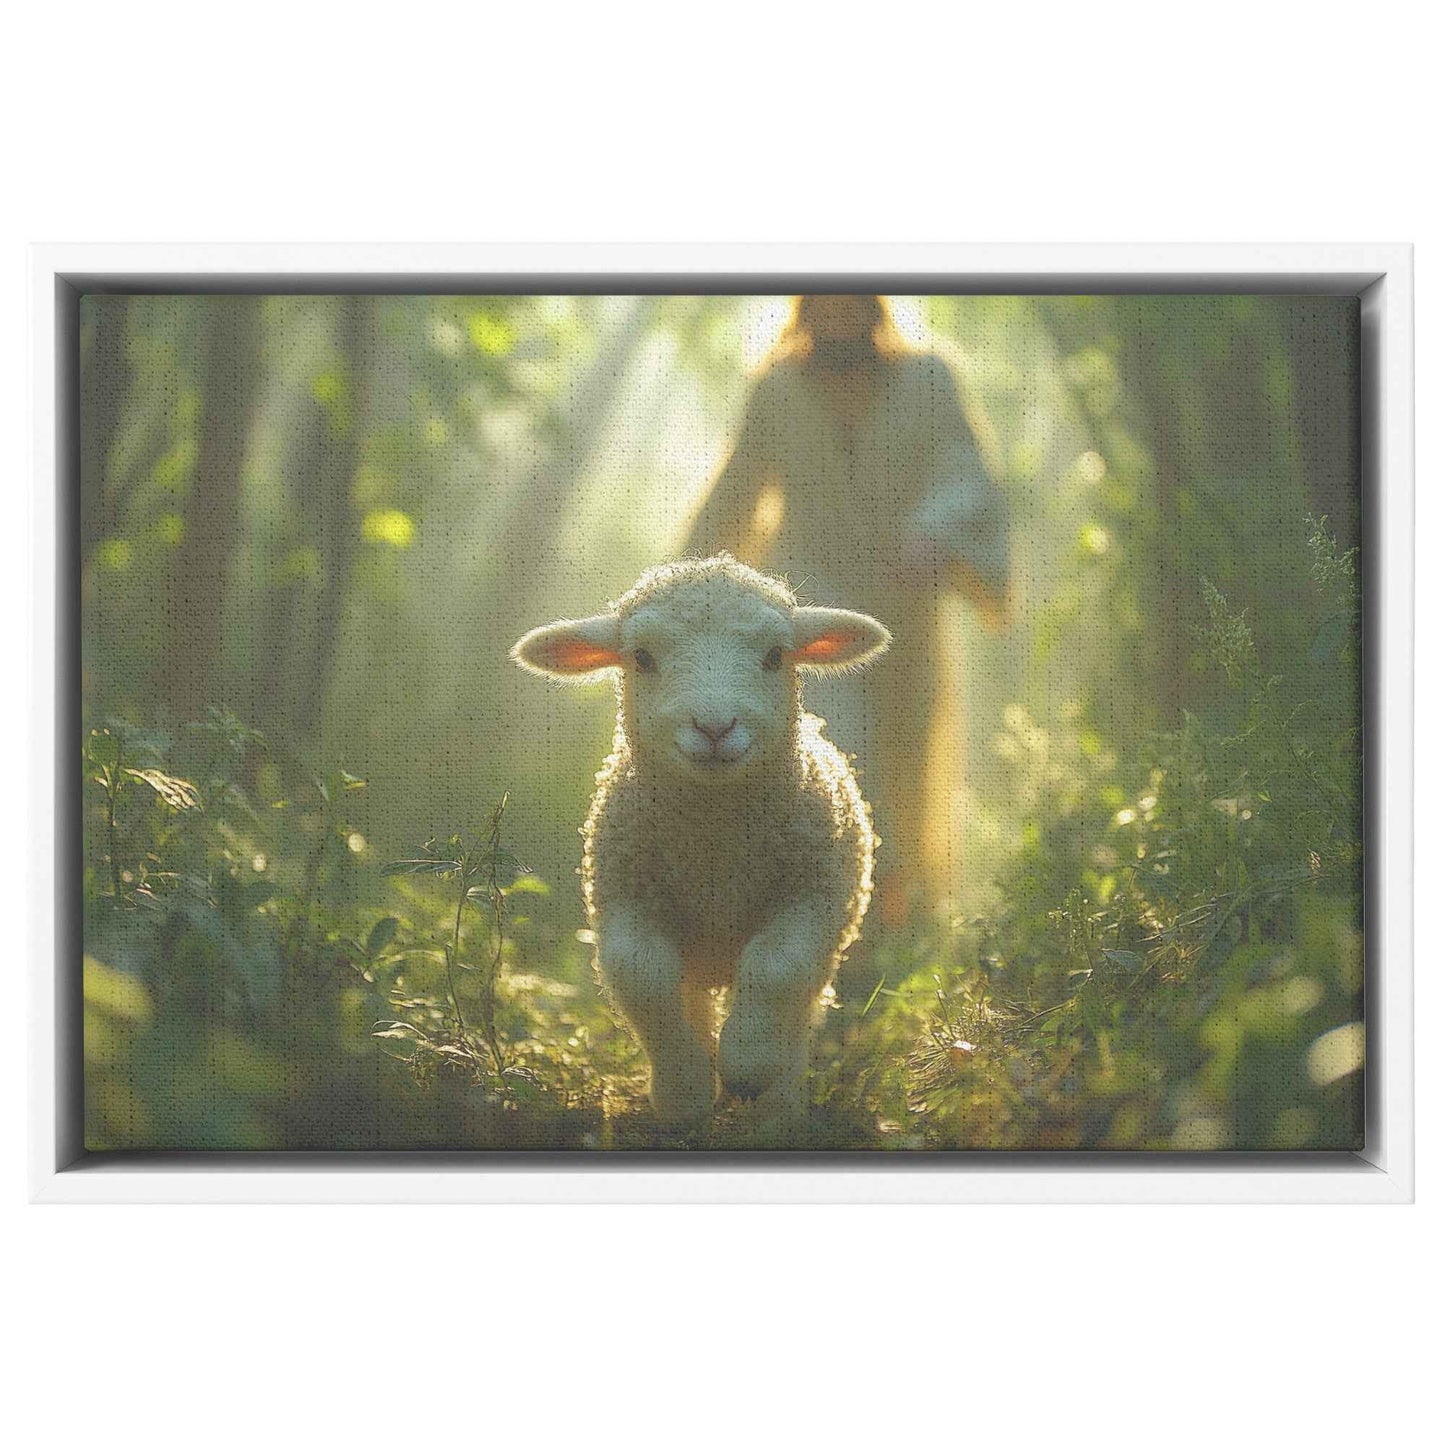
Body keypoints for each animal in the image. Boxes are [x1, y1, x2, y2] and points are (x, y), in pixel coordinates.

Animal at [512, 553, 890, 1129]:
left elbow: (775, 967)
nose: (715, 727)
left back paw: (778, 1113)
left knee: (796, 1012)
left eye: (775, 656)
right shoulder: (624, 897)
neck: (715, 844)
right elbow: (644, 978)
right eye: (642, 657)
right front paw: (684, 1092)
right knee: (688, 997)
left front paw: (747, 1065)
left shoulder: (816, 897)